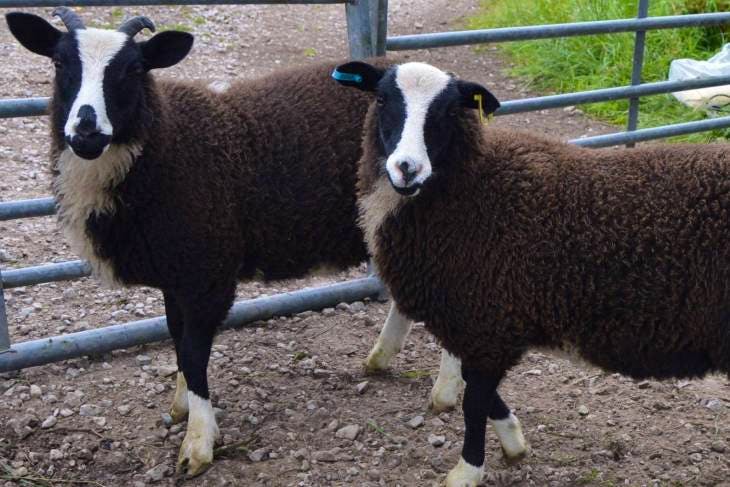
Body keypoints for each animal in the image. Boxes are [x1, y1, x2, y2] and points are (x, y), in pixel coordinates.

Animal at [5, 9, 528, 476]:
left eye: (134, 69)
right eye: (60, 63)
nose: (86, 130)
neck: (167, 143)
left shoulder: (208, 271)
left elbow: (193, 352)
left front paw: (198, 444)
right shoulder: (178, 272)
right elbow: (177, 339)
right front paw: (183, 407)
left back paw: (446, 389)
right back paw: (383, 359)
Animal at [334, 59, 730, 487]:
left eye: (450, 110)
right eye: (381, 98)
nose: (407, 168)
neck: (472, 187)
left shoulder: (486, 321)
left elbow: (474, 402)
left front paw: (467, 470)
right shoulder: (481, 323)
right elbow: (478, 391)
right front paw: (514, 441)